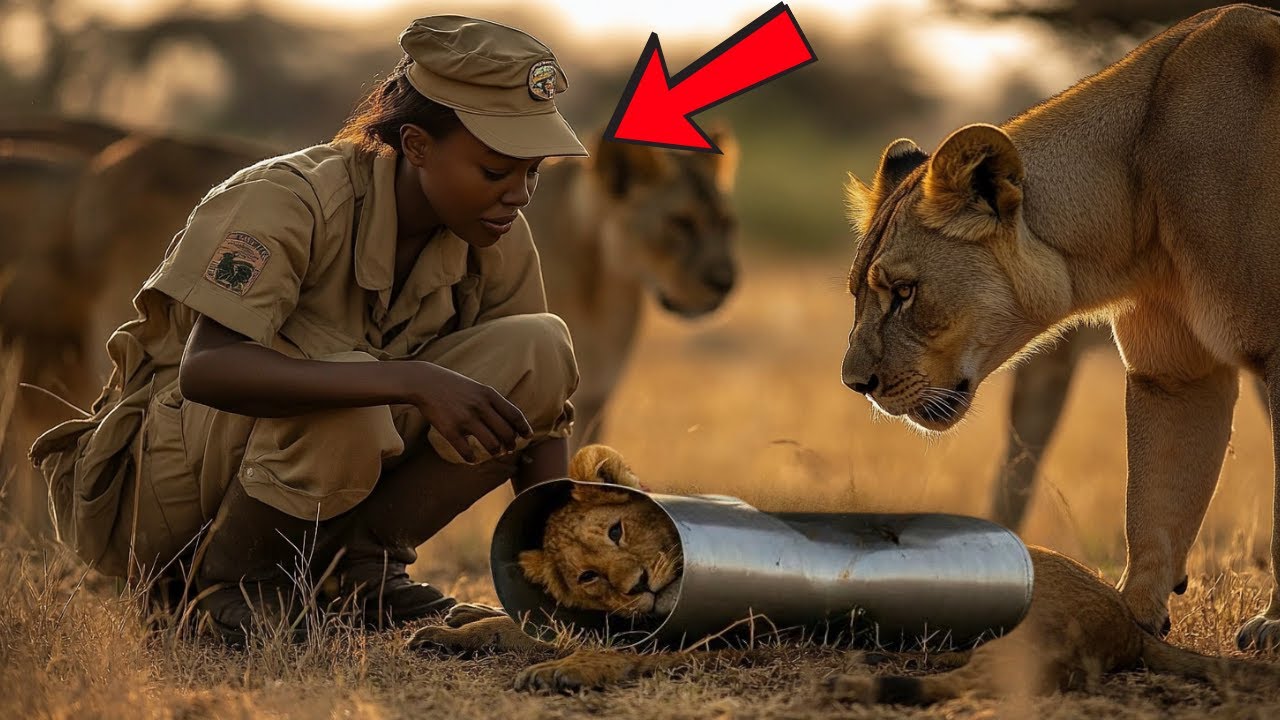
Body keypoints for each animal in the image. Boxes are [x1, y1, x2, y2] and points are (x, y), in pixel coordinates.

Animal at [409, 445, 1280, 700]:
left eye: (622, 528)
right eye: (586, 577)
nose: (638, 589)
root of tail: (1126, 615)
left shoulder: (722, 635)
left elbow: (606, 657)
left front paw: (559, 672)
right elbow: (512, 626)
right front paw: (451, 630)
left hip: (1024, 632)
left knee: (982, 687)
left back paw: (860, 683)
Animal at [838, 4, 1280, 649]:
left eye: (903, 293)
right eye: (856, 292)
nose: (855, 384)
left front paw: (1273, 623)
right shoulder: (1174, 374)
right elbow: (1156, 500)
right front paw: (1133, 620)